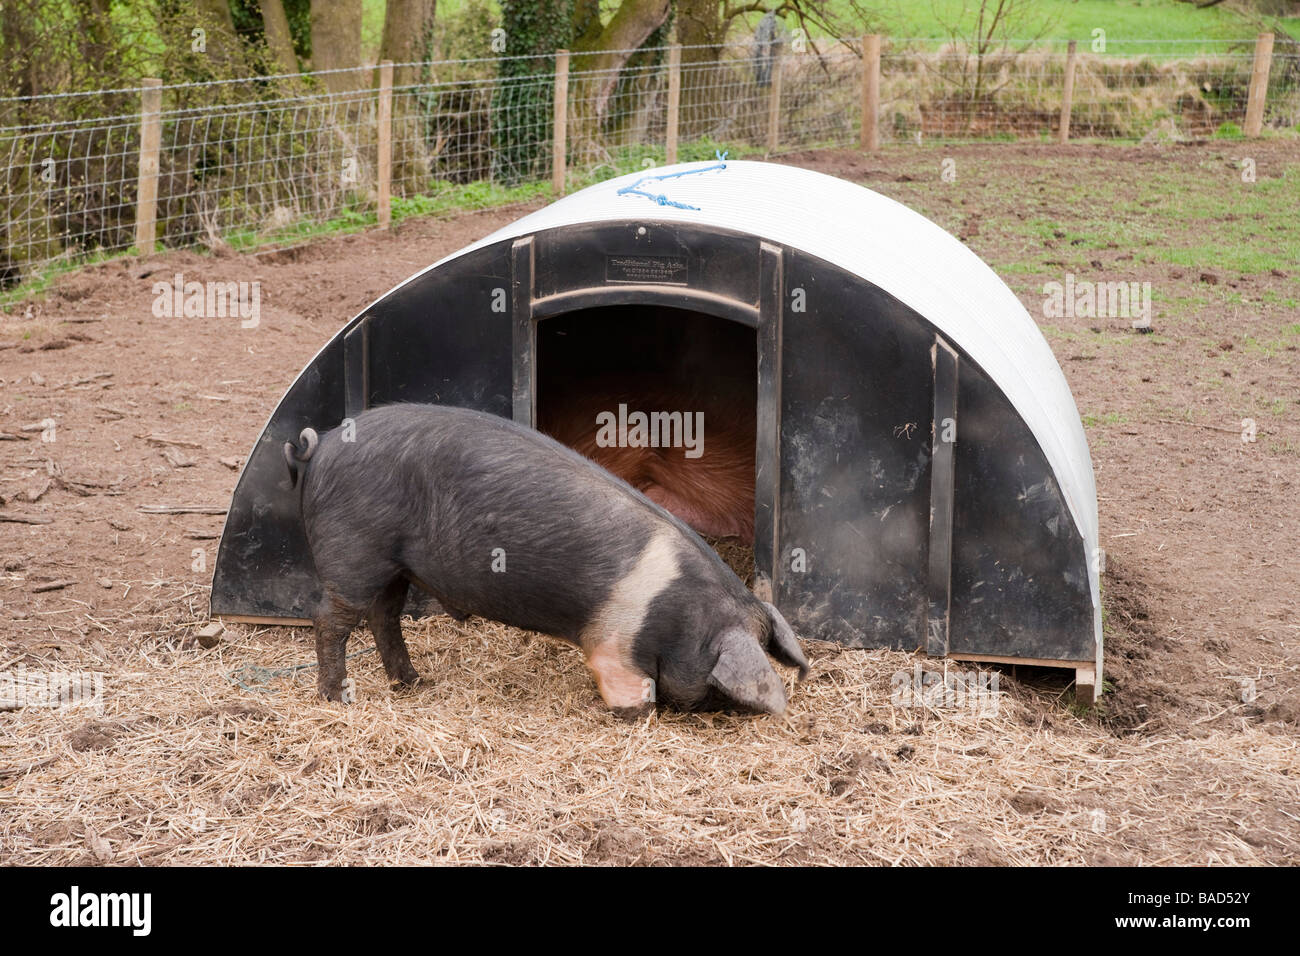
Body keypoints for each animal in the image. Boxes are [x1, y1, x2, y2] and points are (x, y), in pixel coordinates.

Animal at [284, 403, 808, 715]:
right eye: (718, 687)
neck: (677, 614)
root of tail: (319, 447)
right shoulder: (612, 642)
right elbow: (628, 686)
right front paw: (637, 713)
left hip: (394, 565)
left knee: (384, 616)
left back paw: (414, 684)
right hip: (353, 551)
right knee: (330, 619)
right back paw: (338, 698)